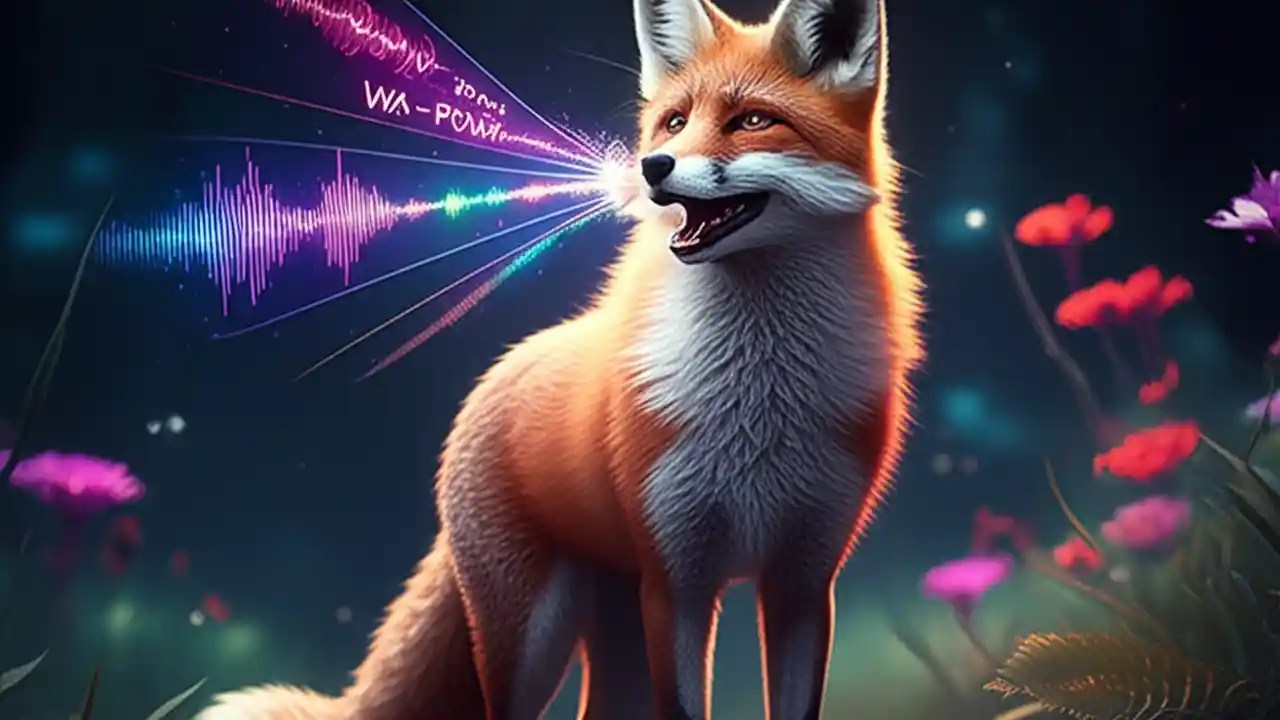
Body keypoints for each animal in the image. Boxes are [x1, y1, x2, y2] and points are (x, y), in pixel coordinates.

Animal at [196, 0, 922, 718]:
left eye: (751, 121)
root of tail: (500, 370)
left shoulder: (804, 580)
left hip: (616, 634)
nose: (652, 166)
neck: (757, 405)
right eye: (675, 121)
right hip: (532, 638)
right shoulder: (677, 581)